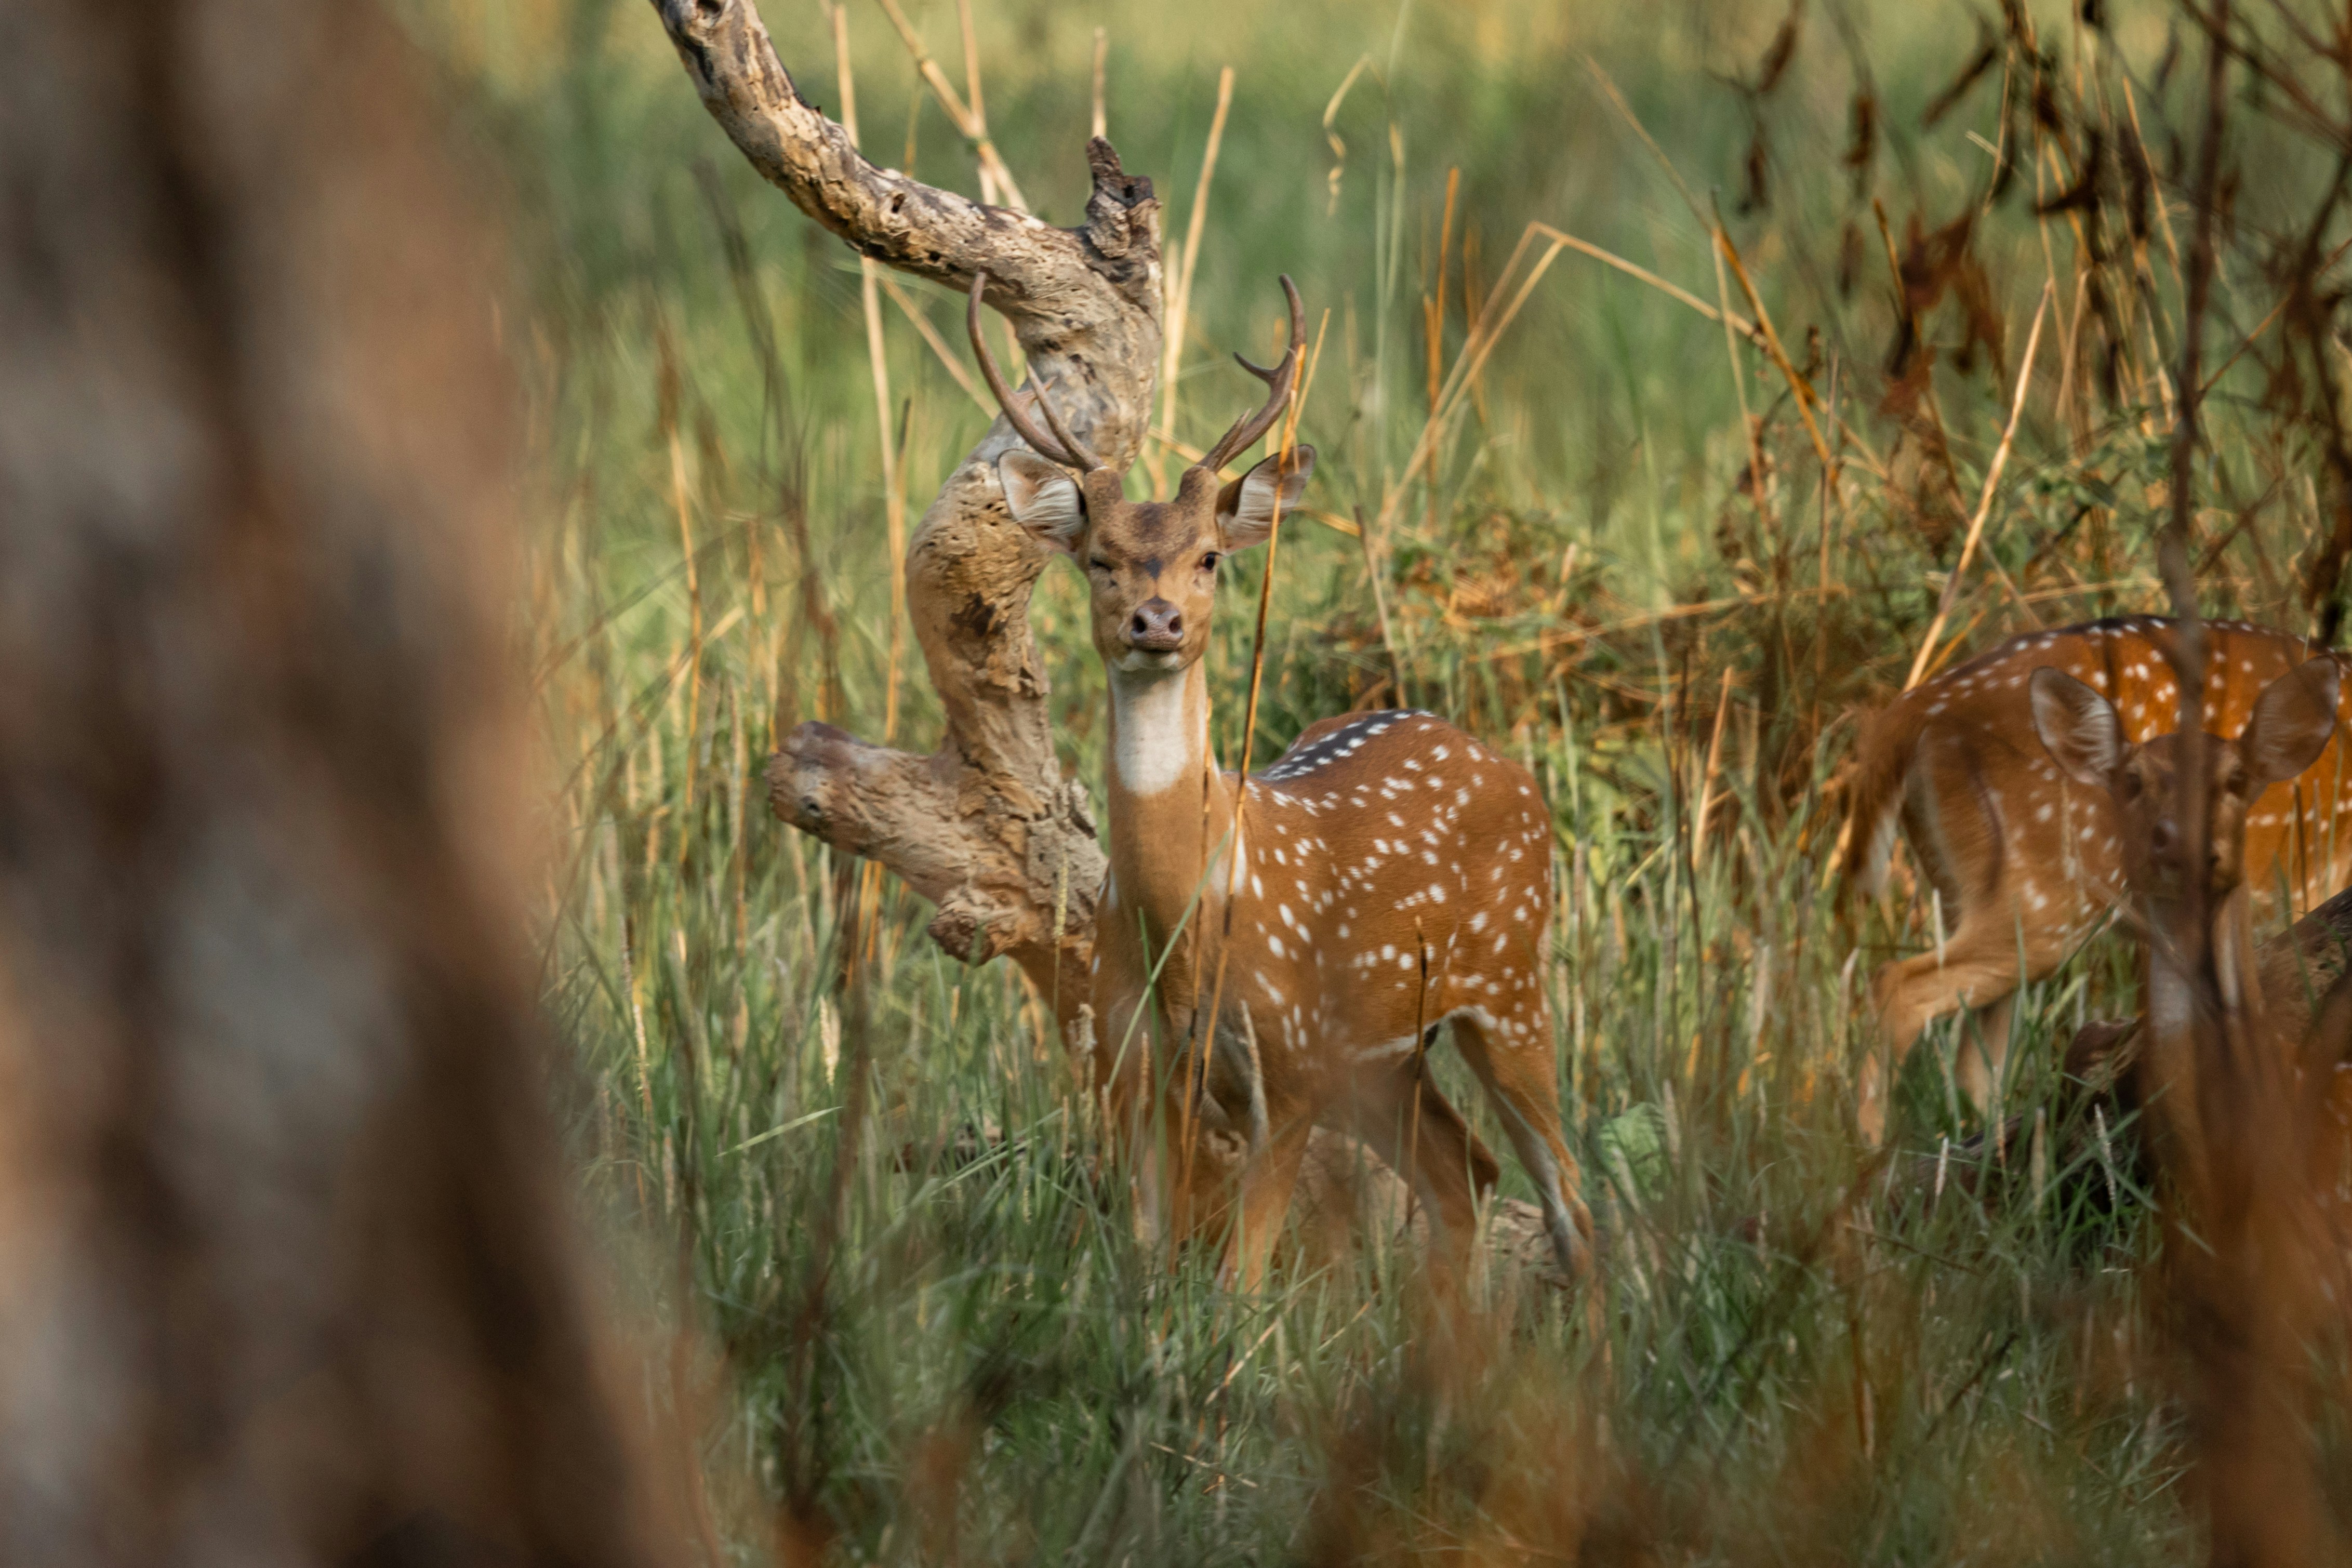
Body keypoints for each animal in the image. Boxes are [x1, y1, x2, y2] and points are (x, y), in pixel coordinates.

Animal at [969, 273, 1591, 1287]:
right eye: (1099, 560)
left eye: (1209, 557)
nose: (1155, 619)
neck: (1188, 920)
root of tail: (1501, 763)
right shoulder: (1132, 1056)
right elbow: (1147, 1261)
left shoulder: (1289, 1066)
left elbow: (1238, 1285)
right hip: (1385, 1055)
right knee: (1465, 1169)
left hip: (1508, 985)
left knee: (1569, 1195)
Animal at [1843, 617, 2352, 1140]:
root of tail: (1915, 705)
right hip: (2048, 894)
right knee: (1894, 985)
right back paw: (1873, 1150)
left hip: (1969, 889)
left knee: (1975, 1058)